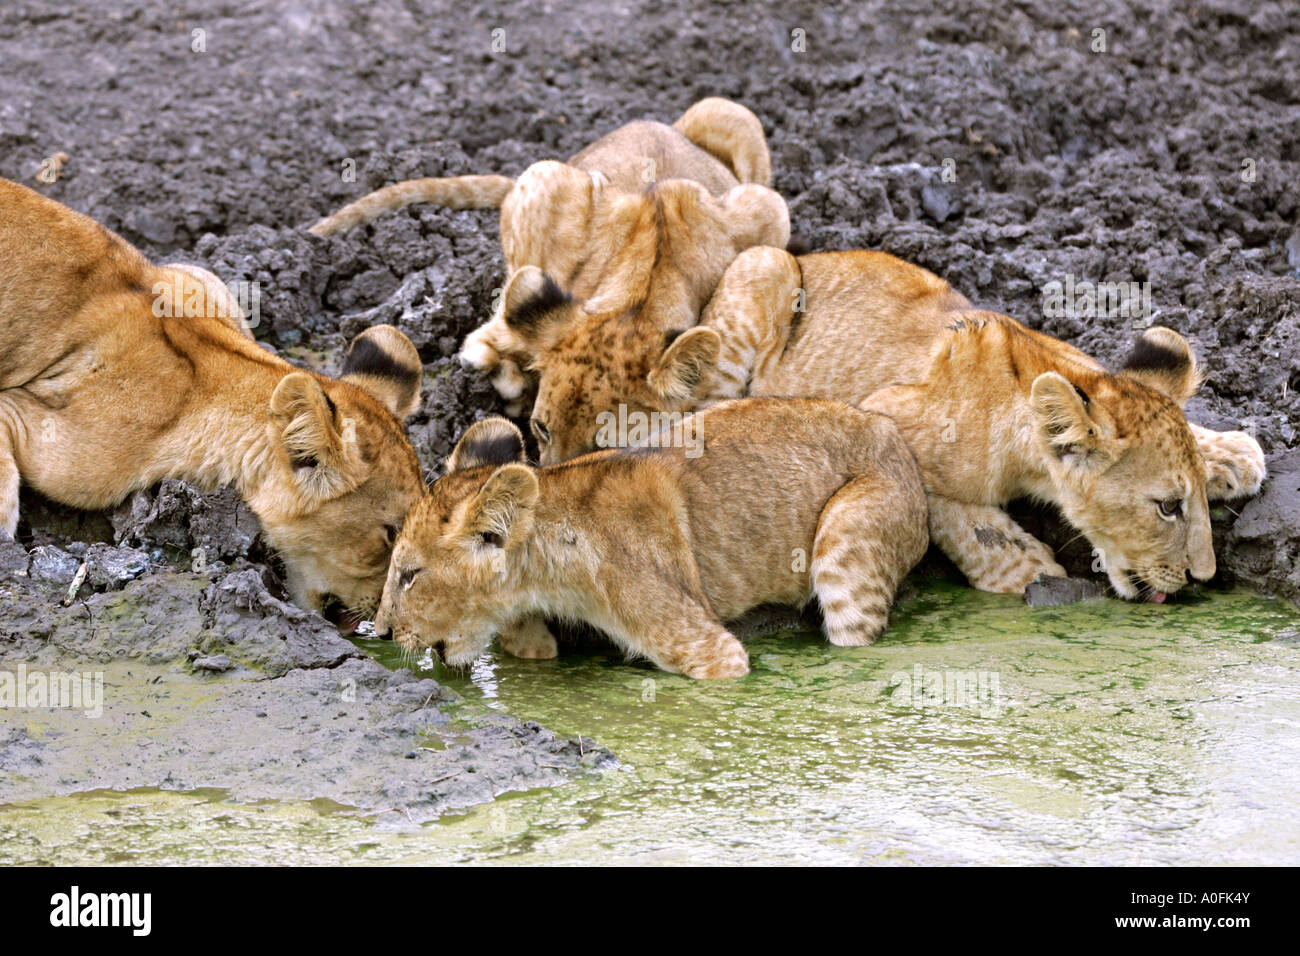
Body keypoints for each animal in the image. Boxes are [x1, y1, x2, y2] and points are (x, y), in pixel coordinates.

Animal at [307, 98, 789, 412]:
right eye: (544, 425)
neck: (647, 286)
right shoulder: (548, 188)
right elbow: (489, 336)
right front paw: (505, 370)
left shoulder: (766, 211)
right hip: (546, 173)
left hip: (731, 113)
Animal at [505, 246, 1266, 600]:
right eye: (1165, 508)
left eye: (1186, 503)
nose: (1202, 576)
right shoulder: (882, 417)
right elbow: (959, 515)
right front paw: (1026, 569)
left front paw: (1230, 454)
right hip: (760, 273)